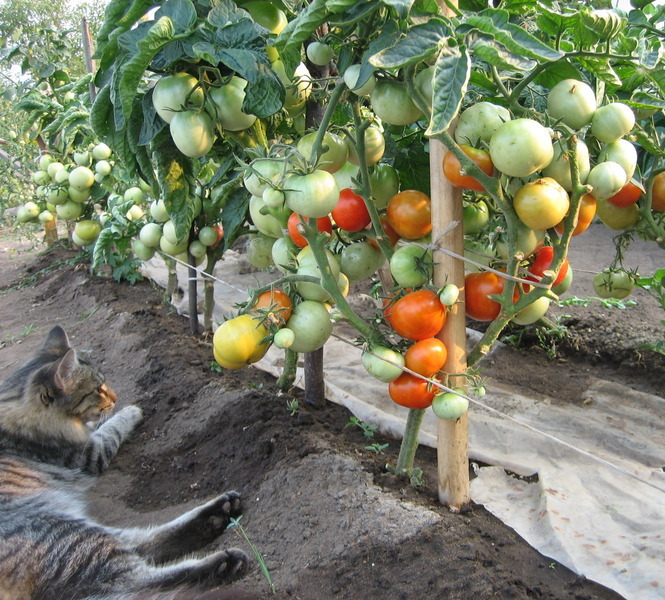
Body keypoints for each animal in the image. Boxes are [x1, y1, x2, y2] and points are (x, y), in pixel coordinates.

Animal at [0, 326, 248, 596]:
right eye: (98, 389)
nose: (117, 397)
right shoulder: (89, 453)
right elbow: (113, 426)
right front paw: (131, 410)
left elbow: (105, 425)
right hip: (70, 536)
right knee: (141, 578)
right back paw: (224, 561)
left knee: (140, 543)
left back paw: (218, 514)